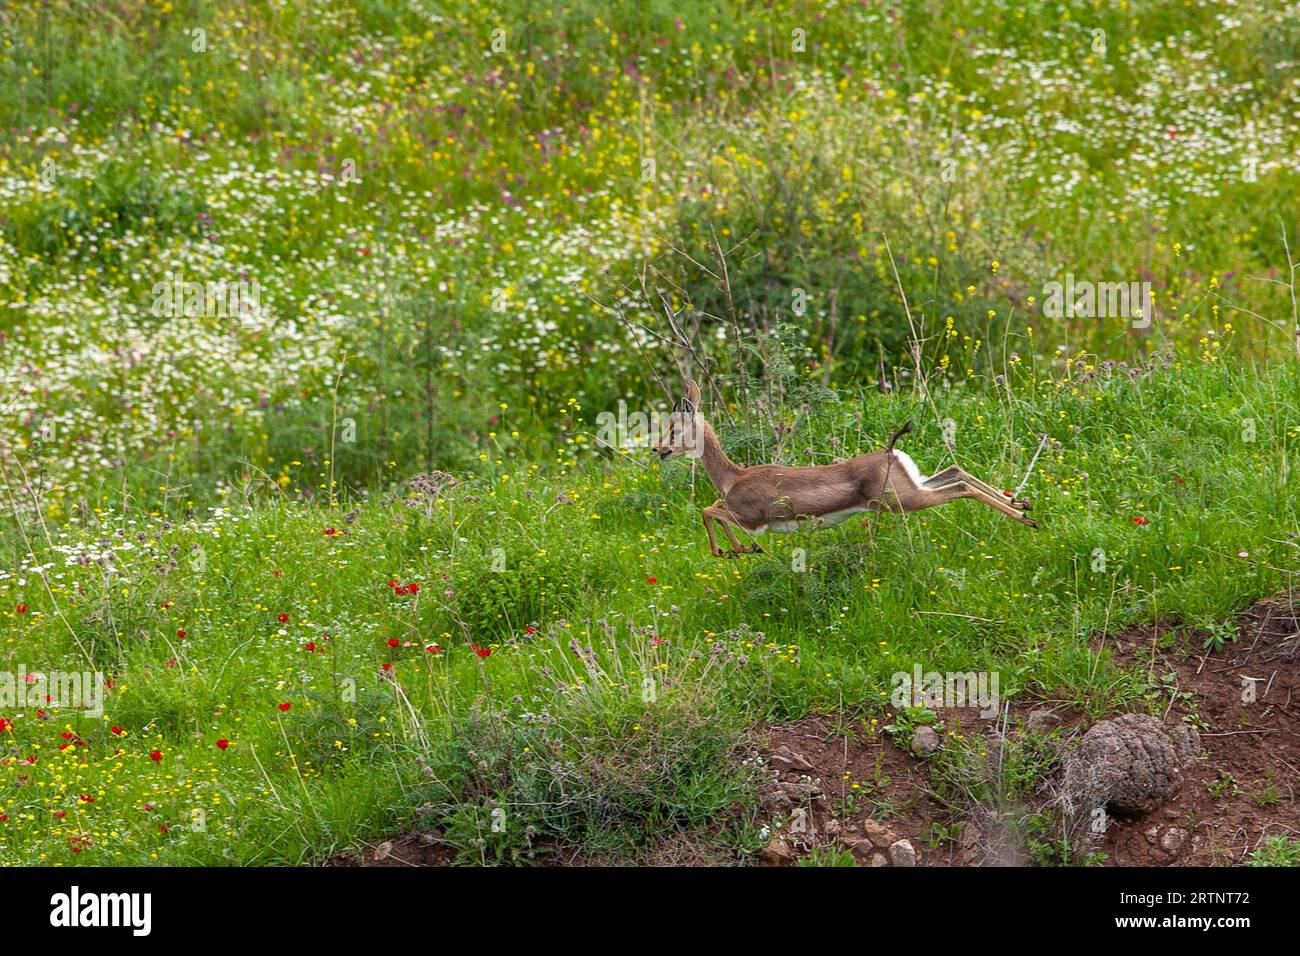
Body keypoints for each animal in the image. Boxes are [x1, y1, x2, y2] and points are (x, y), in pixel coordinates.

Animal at [651, 381, 1037, 558]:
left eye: (674, 428)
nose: (659, 449)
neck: (733, 478)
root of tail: (890, 451)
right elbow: (711, 510)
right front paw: (738, 551)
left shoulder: (750, 518)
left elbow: (709, 509)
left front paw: (734, 550)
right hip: (914, 487)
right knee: (956, 471)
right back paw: (1023, 505)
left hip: (902, 501)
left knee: (961, 488)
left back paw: (1026, 519)